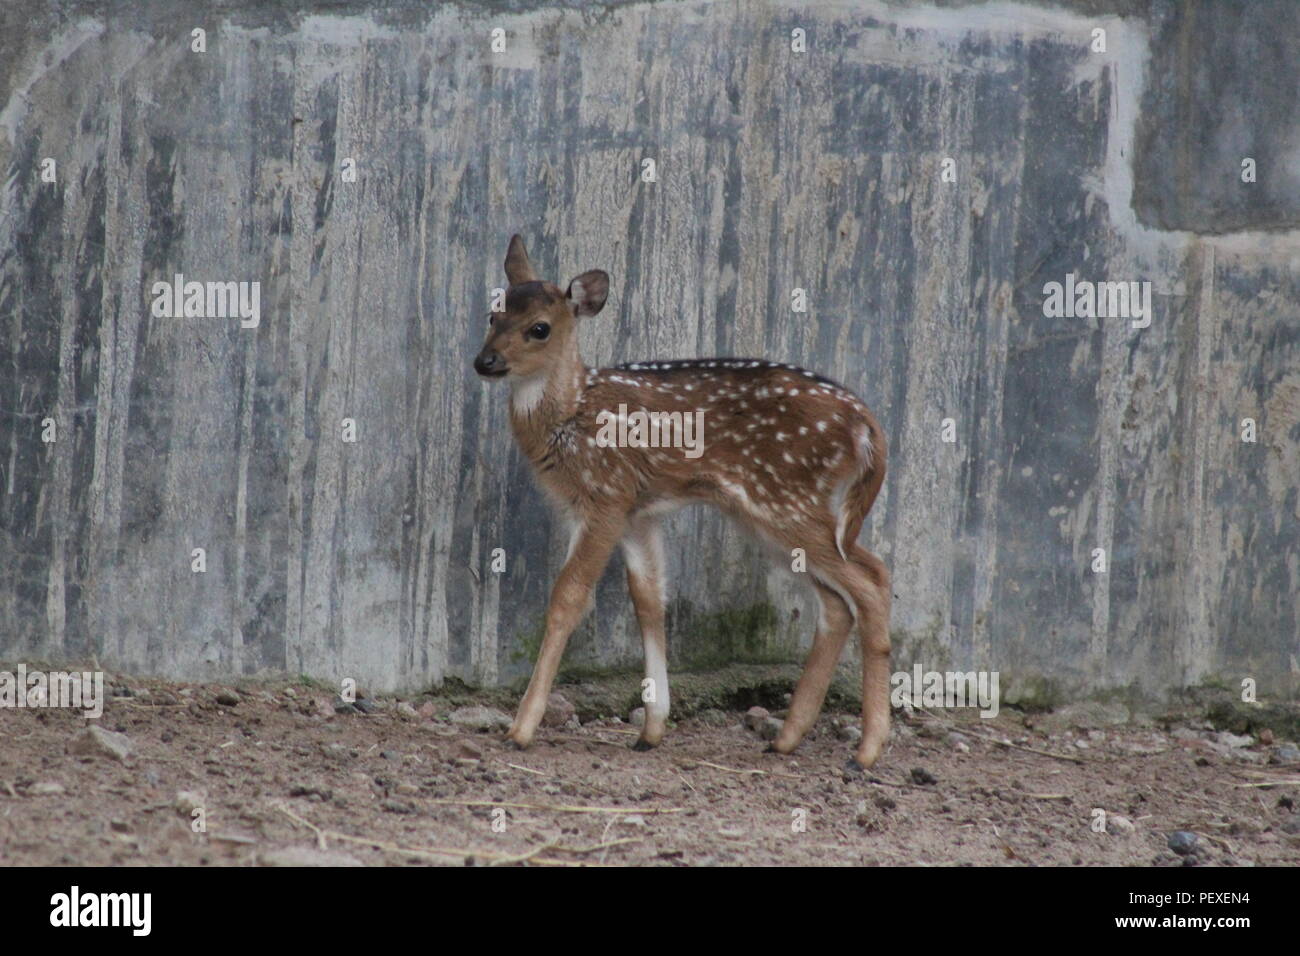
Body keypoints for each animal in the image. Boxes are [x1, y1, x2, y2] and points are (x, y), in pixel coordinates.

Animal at [473, 235, 892, 770]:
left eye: (539, 329)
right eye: (493, 314)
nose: (484, 363)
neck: (573, 413)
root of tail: (868, 427)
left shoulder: (606, 495)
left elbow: (568, 597)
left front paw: (521, 729)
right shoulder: (638, 513)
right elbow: (650, 599)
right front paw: (651, 730)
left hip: (787, 500)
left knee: (871, 582)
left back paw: (867, 748)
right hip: (775, 514)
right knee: (843, 597)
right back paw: (786, 738)